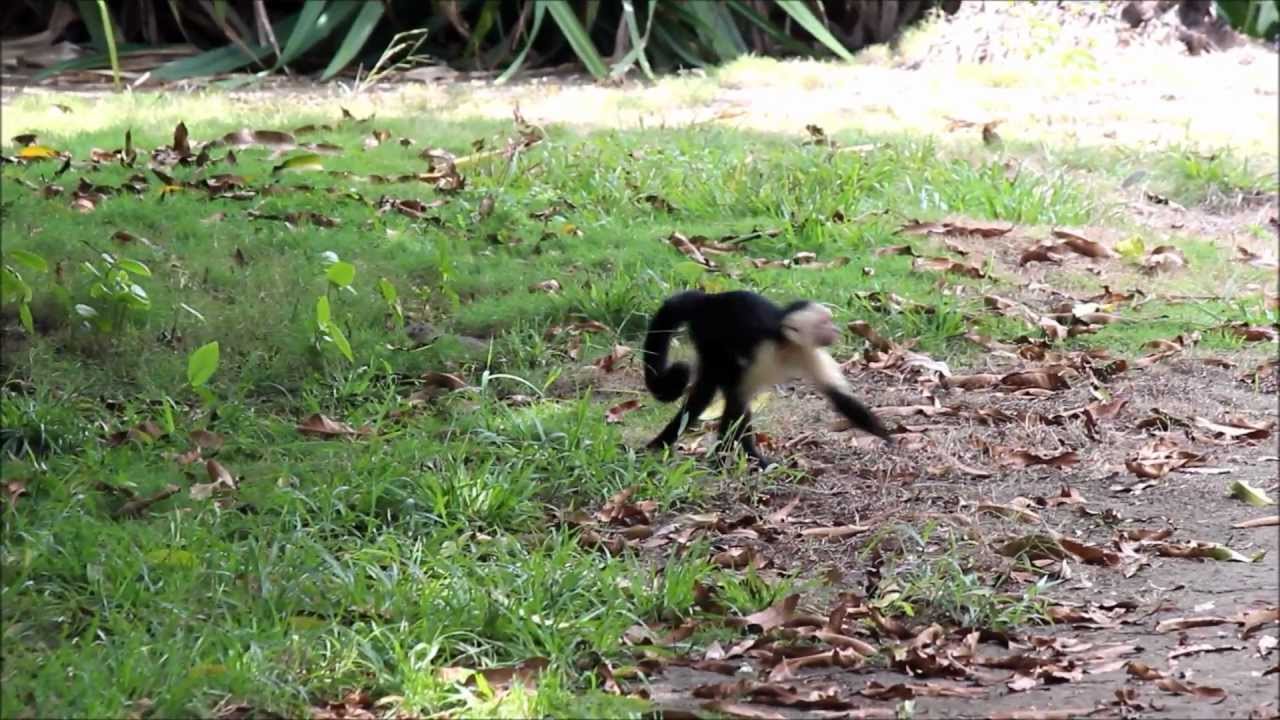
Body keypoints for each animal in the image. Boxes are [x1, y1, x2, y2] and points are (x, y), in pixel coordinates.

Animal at [642, 289, 892, 468]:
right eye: (824, 323)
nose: (836, 330)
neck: (786, 345)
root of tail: (707, 299)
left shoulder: (810, 352)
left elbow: (840, 398)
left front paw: (887, 437)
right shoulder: (763, 351)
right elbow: (738, 402)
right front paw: (730, 458)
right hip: (708, 334)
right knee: (714, 389)